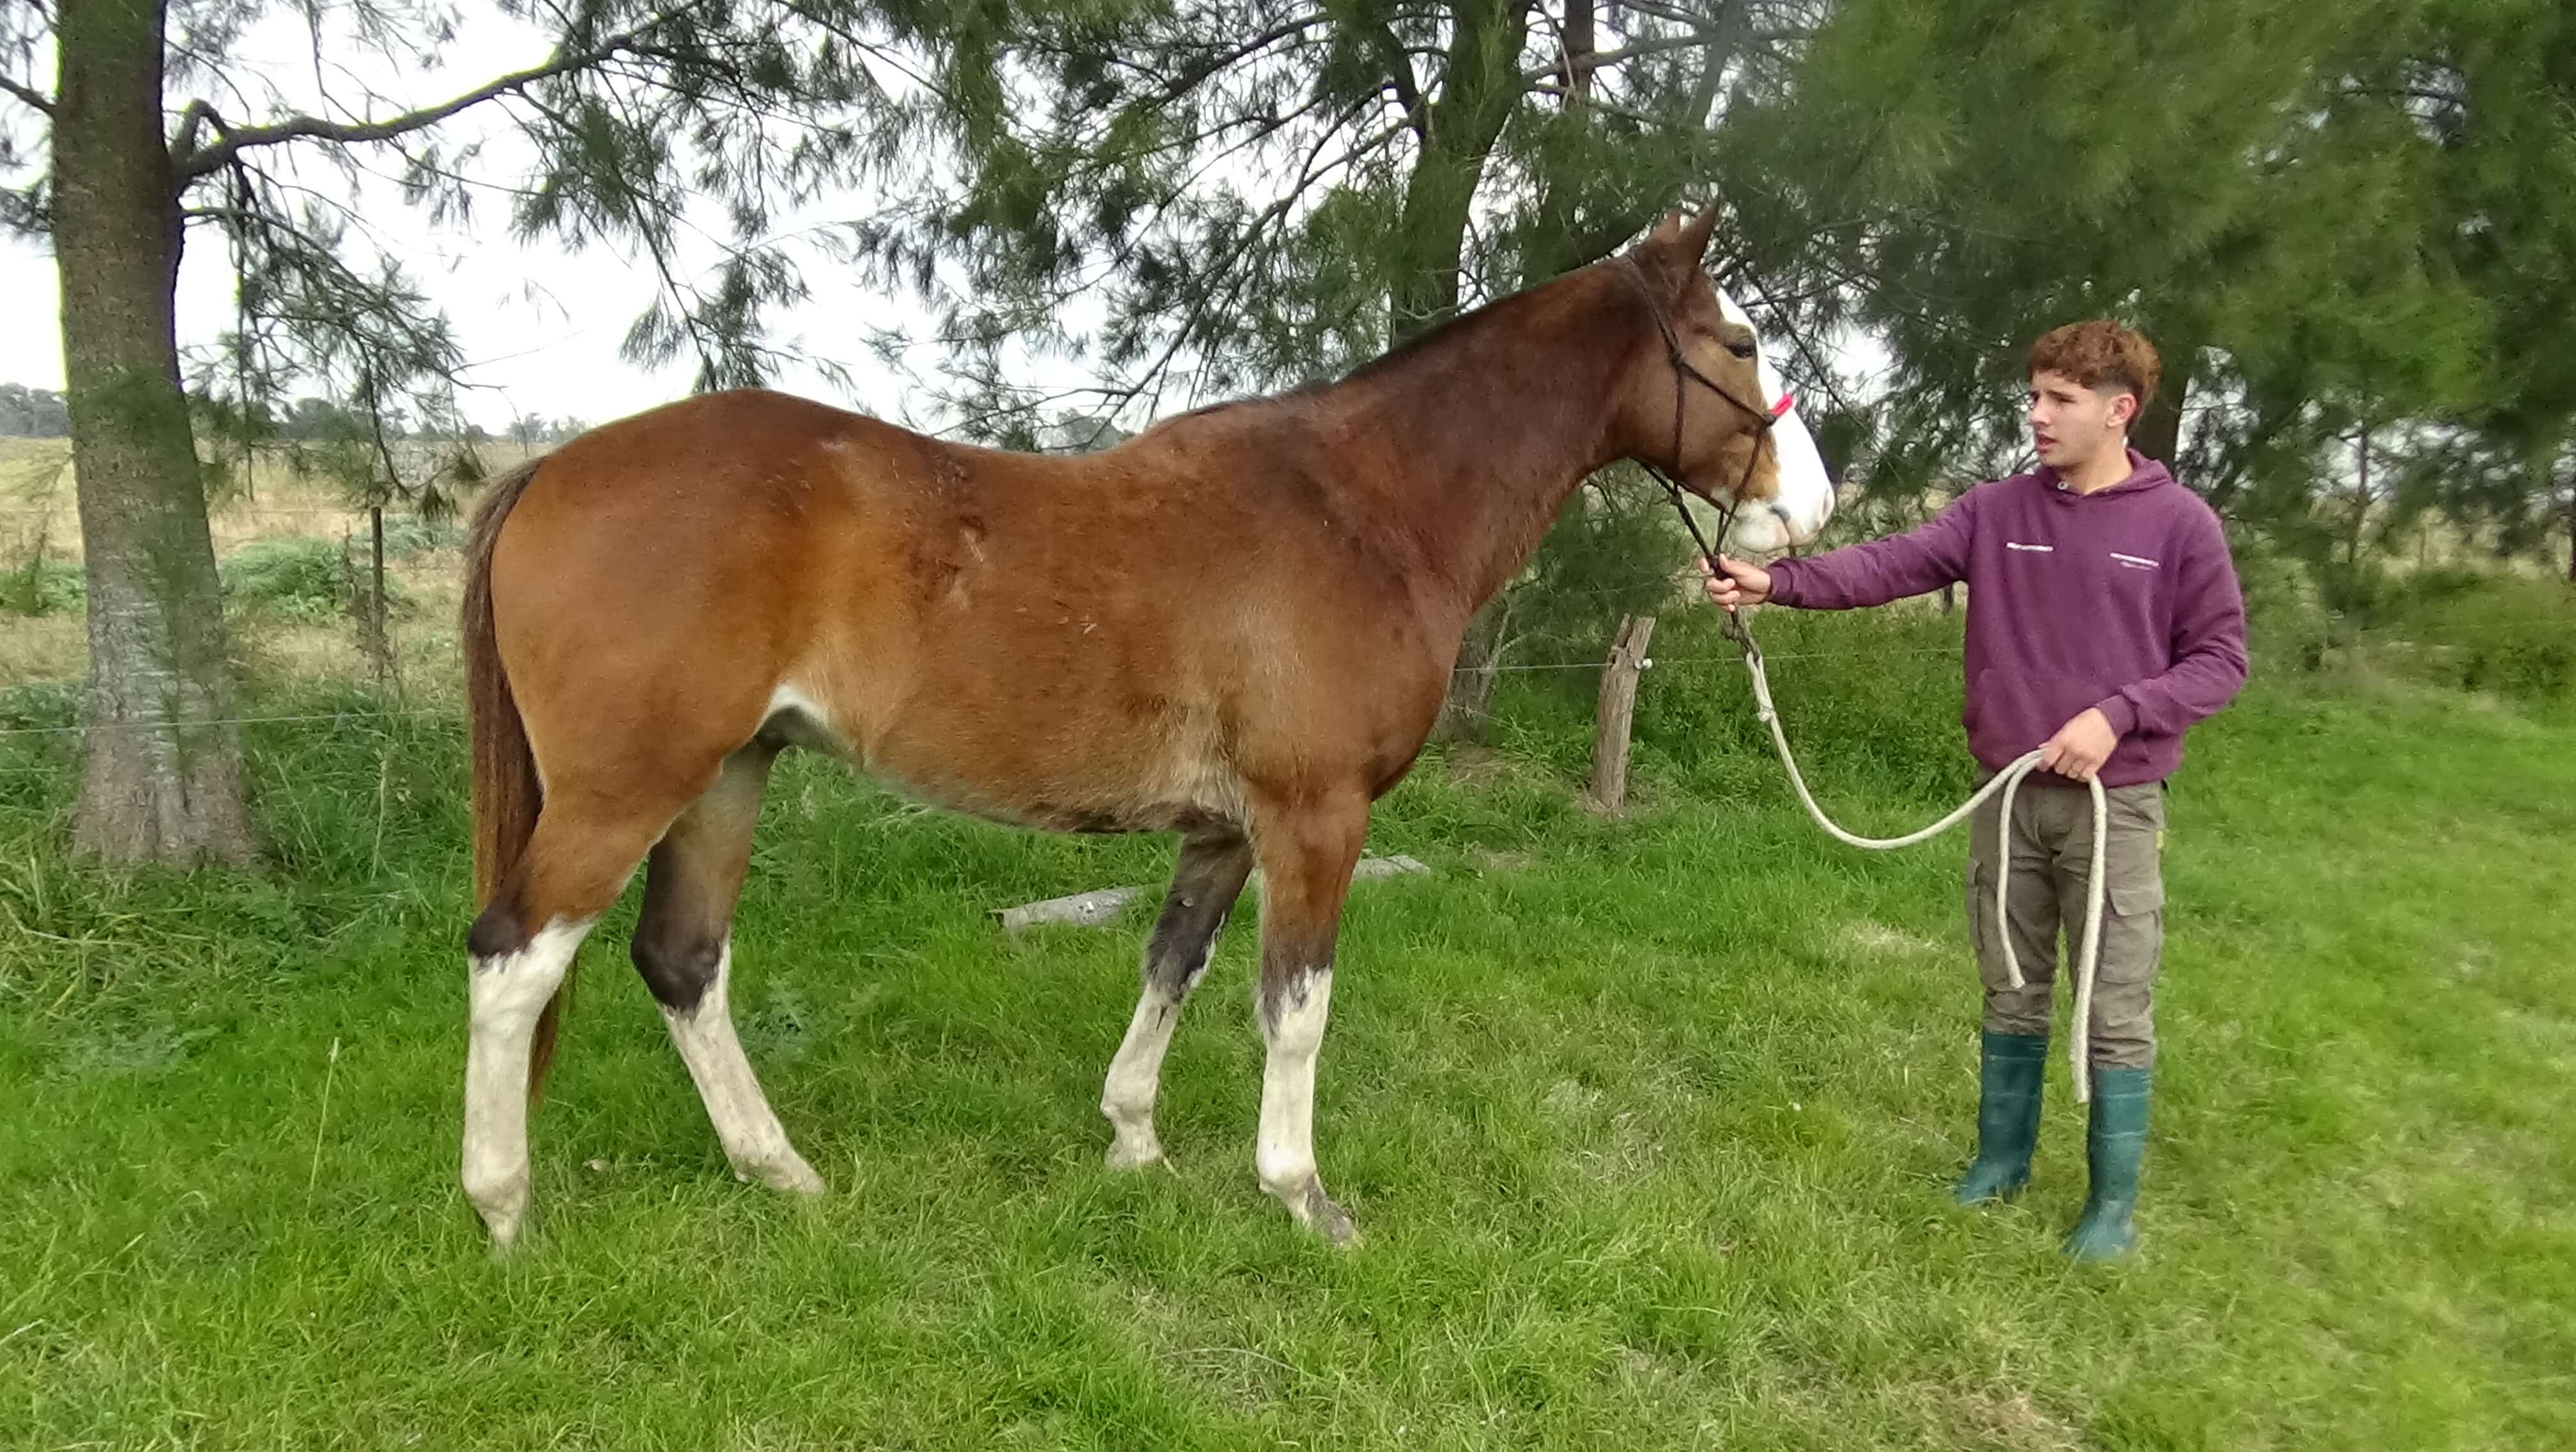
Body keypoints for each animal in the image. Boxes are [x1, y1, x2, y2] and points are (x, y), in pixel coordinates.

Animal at [456, 201, 1834, 1250]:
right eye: (1740, 341)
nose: (1810, 508)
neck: (1368, 506)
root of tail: (553, 466)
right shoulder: (1316, 819)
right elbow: (1297, 1004)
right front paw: (1304, 1197)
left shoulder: (1224, 830)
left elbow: (1173, 965)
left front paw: (1132, 1140)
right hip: (626, 789)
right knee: (514, 957)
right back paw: (504, 1208)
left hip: (726, 776)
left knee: (683, 961)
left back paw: (778, 1170)